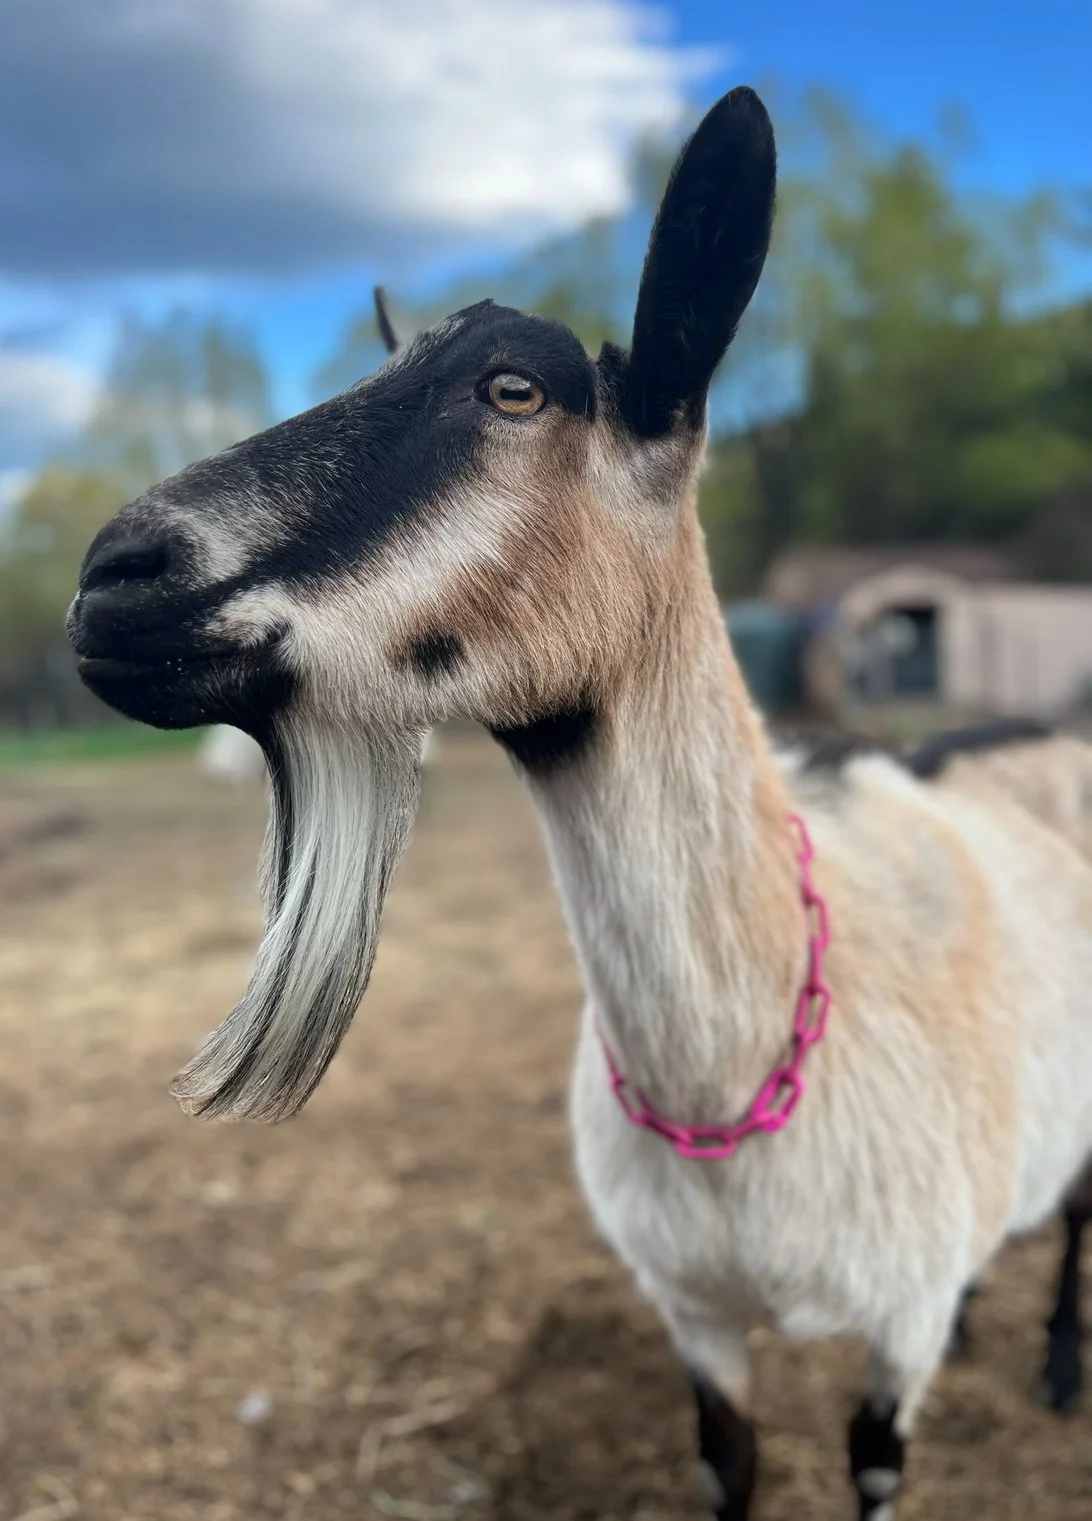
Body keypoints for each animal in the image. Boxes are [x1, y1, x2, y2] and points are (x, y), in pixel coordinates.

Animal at [66, 86, 1091, 1518]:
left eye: (515, 389)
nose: (114, 579)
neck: (733, 1080)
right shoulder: (694, 1314)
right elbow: (727, 1465)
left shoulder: (893, 1332)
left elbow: (879, 1466)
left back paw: (1056, 1362)